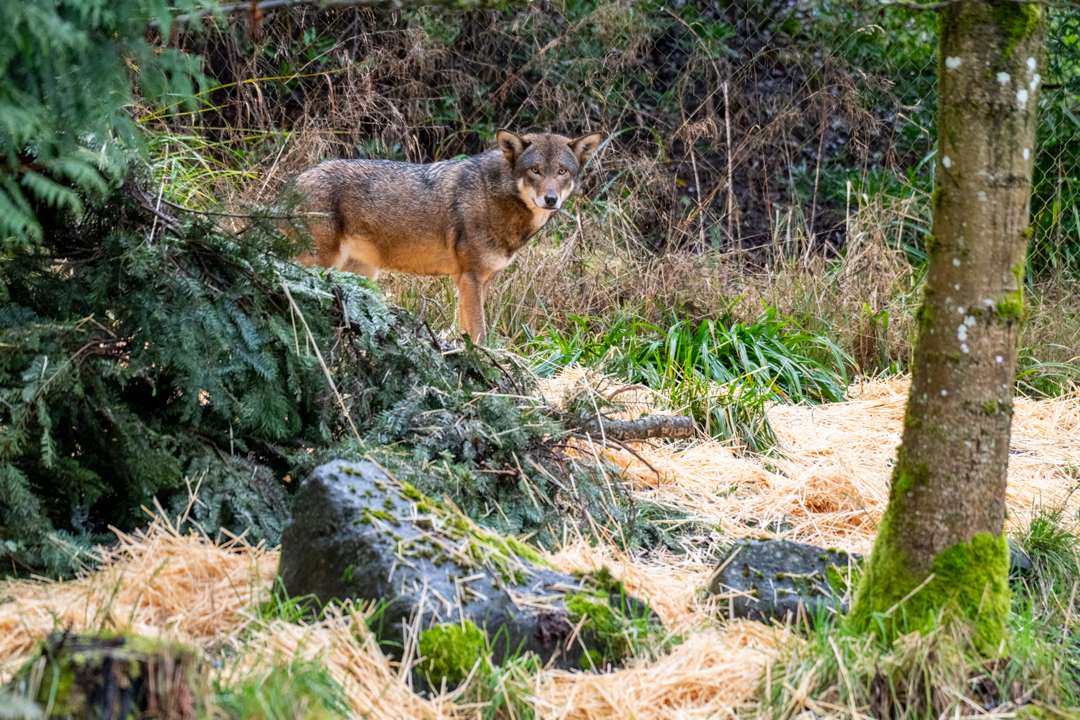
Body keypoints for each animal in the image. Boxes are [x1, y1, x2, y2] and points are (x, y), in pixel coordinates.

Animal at [292, 129, 604, 344]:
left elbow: (467, 330)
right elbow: (479, 334)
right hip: (321, 266)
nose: (550, 199)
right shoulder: (468, 278)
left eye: (561, 171)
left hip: (360, 276)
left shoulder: (480, 281)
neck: (495, 198)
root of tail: (294, 181)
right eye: (535, 171)